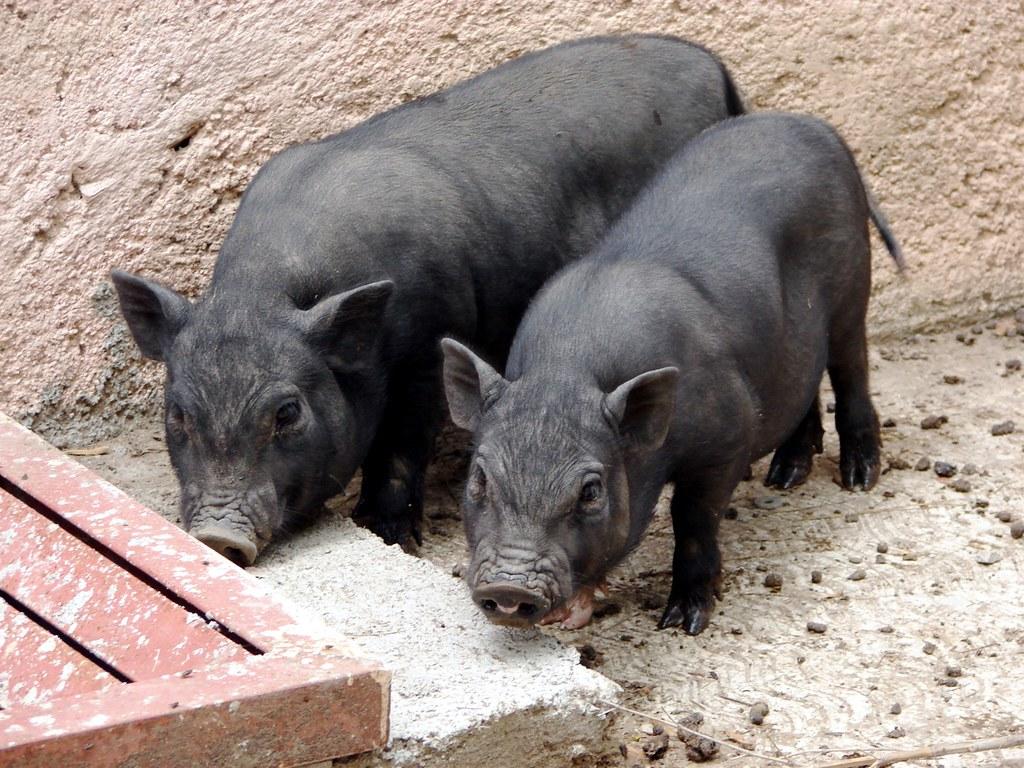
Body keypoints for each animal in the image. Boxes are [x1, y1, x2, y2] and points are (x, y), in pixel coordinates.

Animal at [110, 35, 744, 564]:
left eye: (287, 412)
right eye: (177, 413)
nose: (219, 538)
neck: (265, 289)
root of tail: (712, 65)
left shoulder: (429, 344)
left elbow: (402, 443)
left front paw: (386, 534)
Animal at [442, 112, 904, 634]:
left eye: (590, 492)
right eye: (479, 478)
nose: (509, 588)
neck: (567, 369)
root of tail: (817, 127)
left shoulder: (729, 433)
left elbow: (692, 516)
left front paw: (684, 621)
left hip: (853, 288)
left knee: (851, 370)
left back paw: (859, 478)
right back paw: (783, 478)